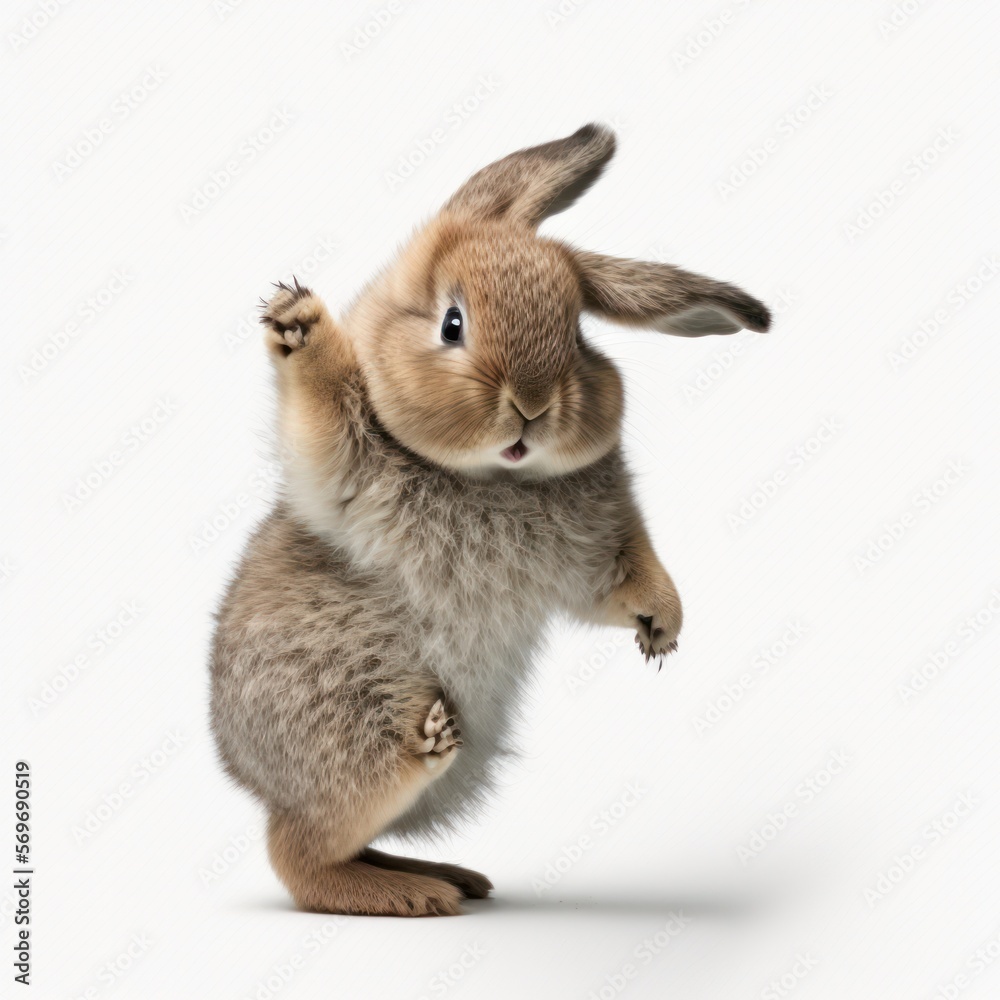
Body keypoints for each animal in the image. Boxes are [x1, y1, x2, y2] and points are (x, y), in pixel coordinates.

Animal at [210, 123, 771, 917]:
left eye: (578, 336)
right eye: (453, 323)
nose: (532, 406)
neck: (494, 478)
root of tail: (250, 777)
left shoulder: (604, 544)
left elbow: (630, 576)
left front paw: (662, 628)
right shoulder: (345, 467)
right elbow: (324, 414)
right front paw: (300, 323)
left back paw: (445, 877)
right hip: (350, 731)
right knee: (302, 857)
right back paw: (419, 837)